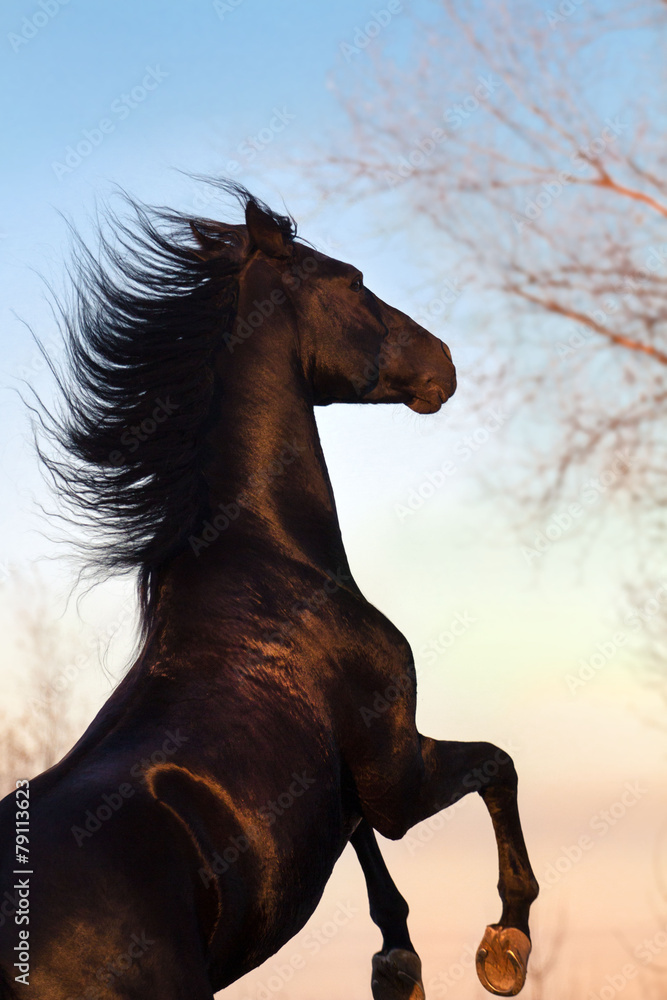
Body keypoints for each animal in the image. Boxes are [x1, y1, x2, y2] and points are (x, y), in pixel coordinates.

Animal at [0, 183, 538, 1000]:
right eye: (352, 281)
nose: (441, 361)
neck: (270, 563)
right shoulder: (398, 775)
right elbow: (495, 765)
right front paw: (506, 945)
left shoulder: (353, 788)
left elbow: (371, 858)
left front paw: (398, 967)